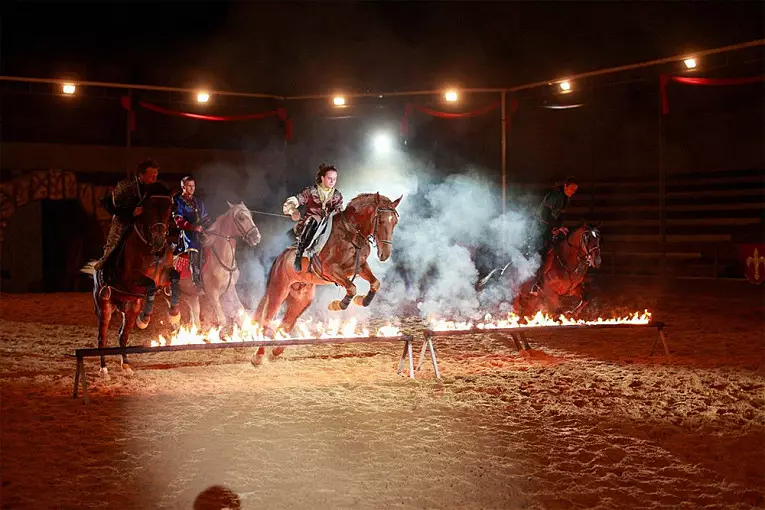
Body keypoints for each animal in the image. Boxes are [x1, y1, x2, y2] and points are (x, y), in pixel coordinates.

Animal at [86, 191, 174, 378]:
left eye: (168, 211)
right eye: (148, 211)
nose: (159, 241)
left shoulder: (165, 275)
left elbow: (172, 280)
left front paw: (174, 312)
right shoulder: (132, 280)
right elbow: (151, 285)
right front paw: (145, 319)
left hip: (131, 309)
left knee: (123, 336)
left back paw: (126, 365)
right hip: (104, 307)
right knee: (102, 337)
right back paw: (103, 369)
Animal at [254, 192, 402, 362]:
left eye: (395, 222)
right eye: (381, 220)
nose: (385, 254)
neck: (351, 233)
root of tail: (280, 259)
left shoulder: (359, 267)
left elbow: (375, 283)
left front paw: (362, 301)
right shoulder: (330, 269)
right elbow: (352, 288)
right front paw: (338, 304)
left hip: (302, 299)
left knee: (287, 322)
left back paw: (277, 349)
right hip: (278, 291)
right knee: (268, 318)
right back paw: (258, 356)